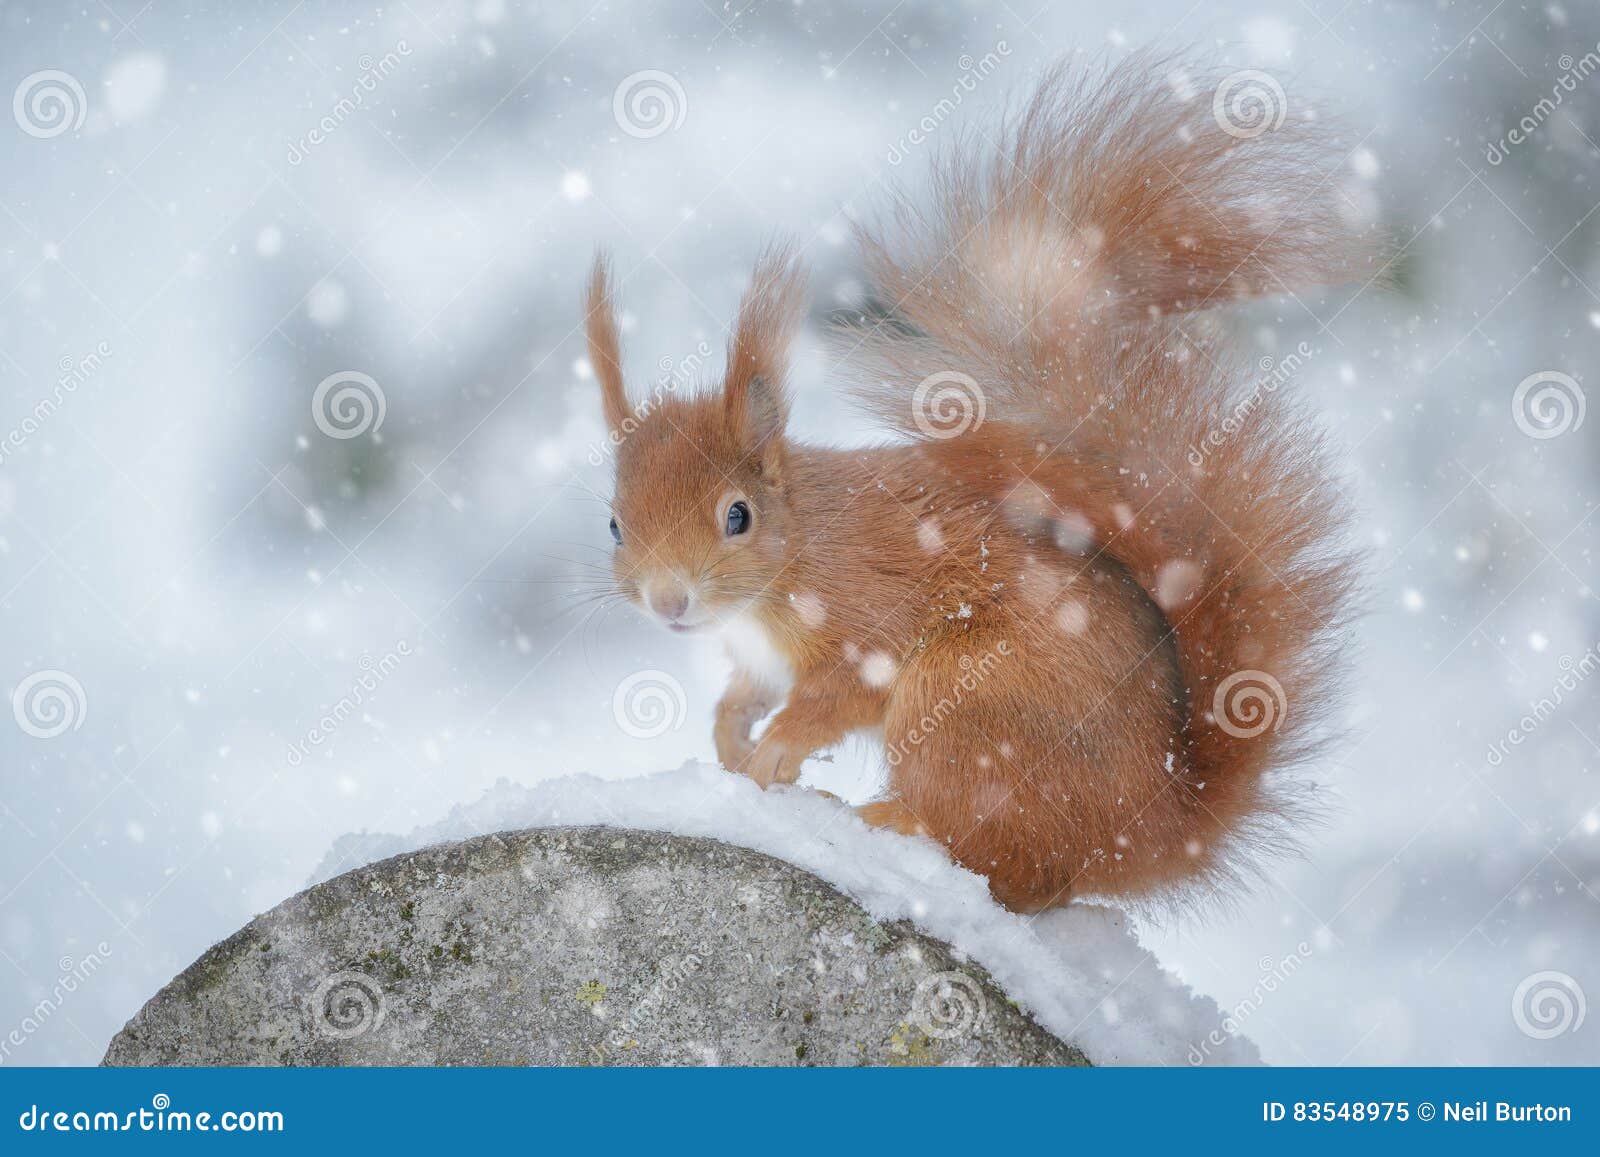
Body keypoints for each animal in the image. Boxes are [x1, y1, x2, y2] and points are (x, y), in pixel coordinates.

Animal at [583, 59, 1376, 911]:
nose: (670, 601)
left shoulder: (866, 615)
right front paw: (732, 740)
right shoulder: (759, 657)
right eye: (614, 524)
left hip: (965, 701)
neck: (790, 560)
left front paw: (776, 752)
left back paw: (885, 820)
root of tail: (1152, 827)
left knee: (1008, 866)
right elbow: (744, 695)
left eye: (739, 516)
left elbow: (837, 694)